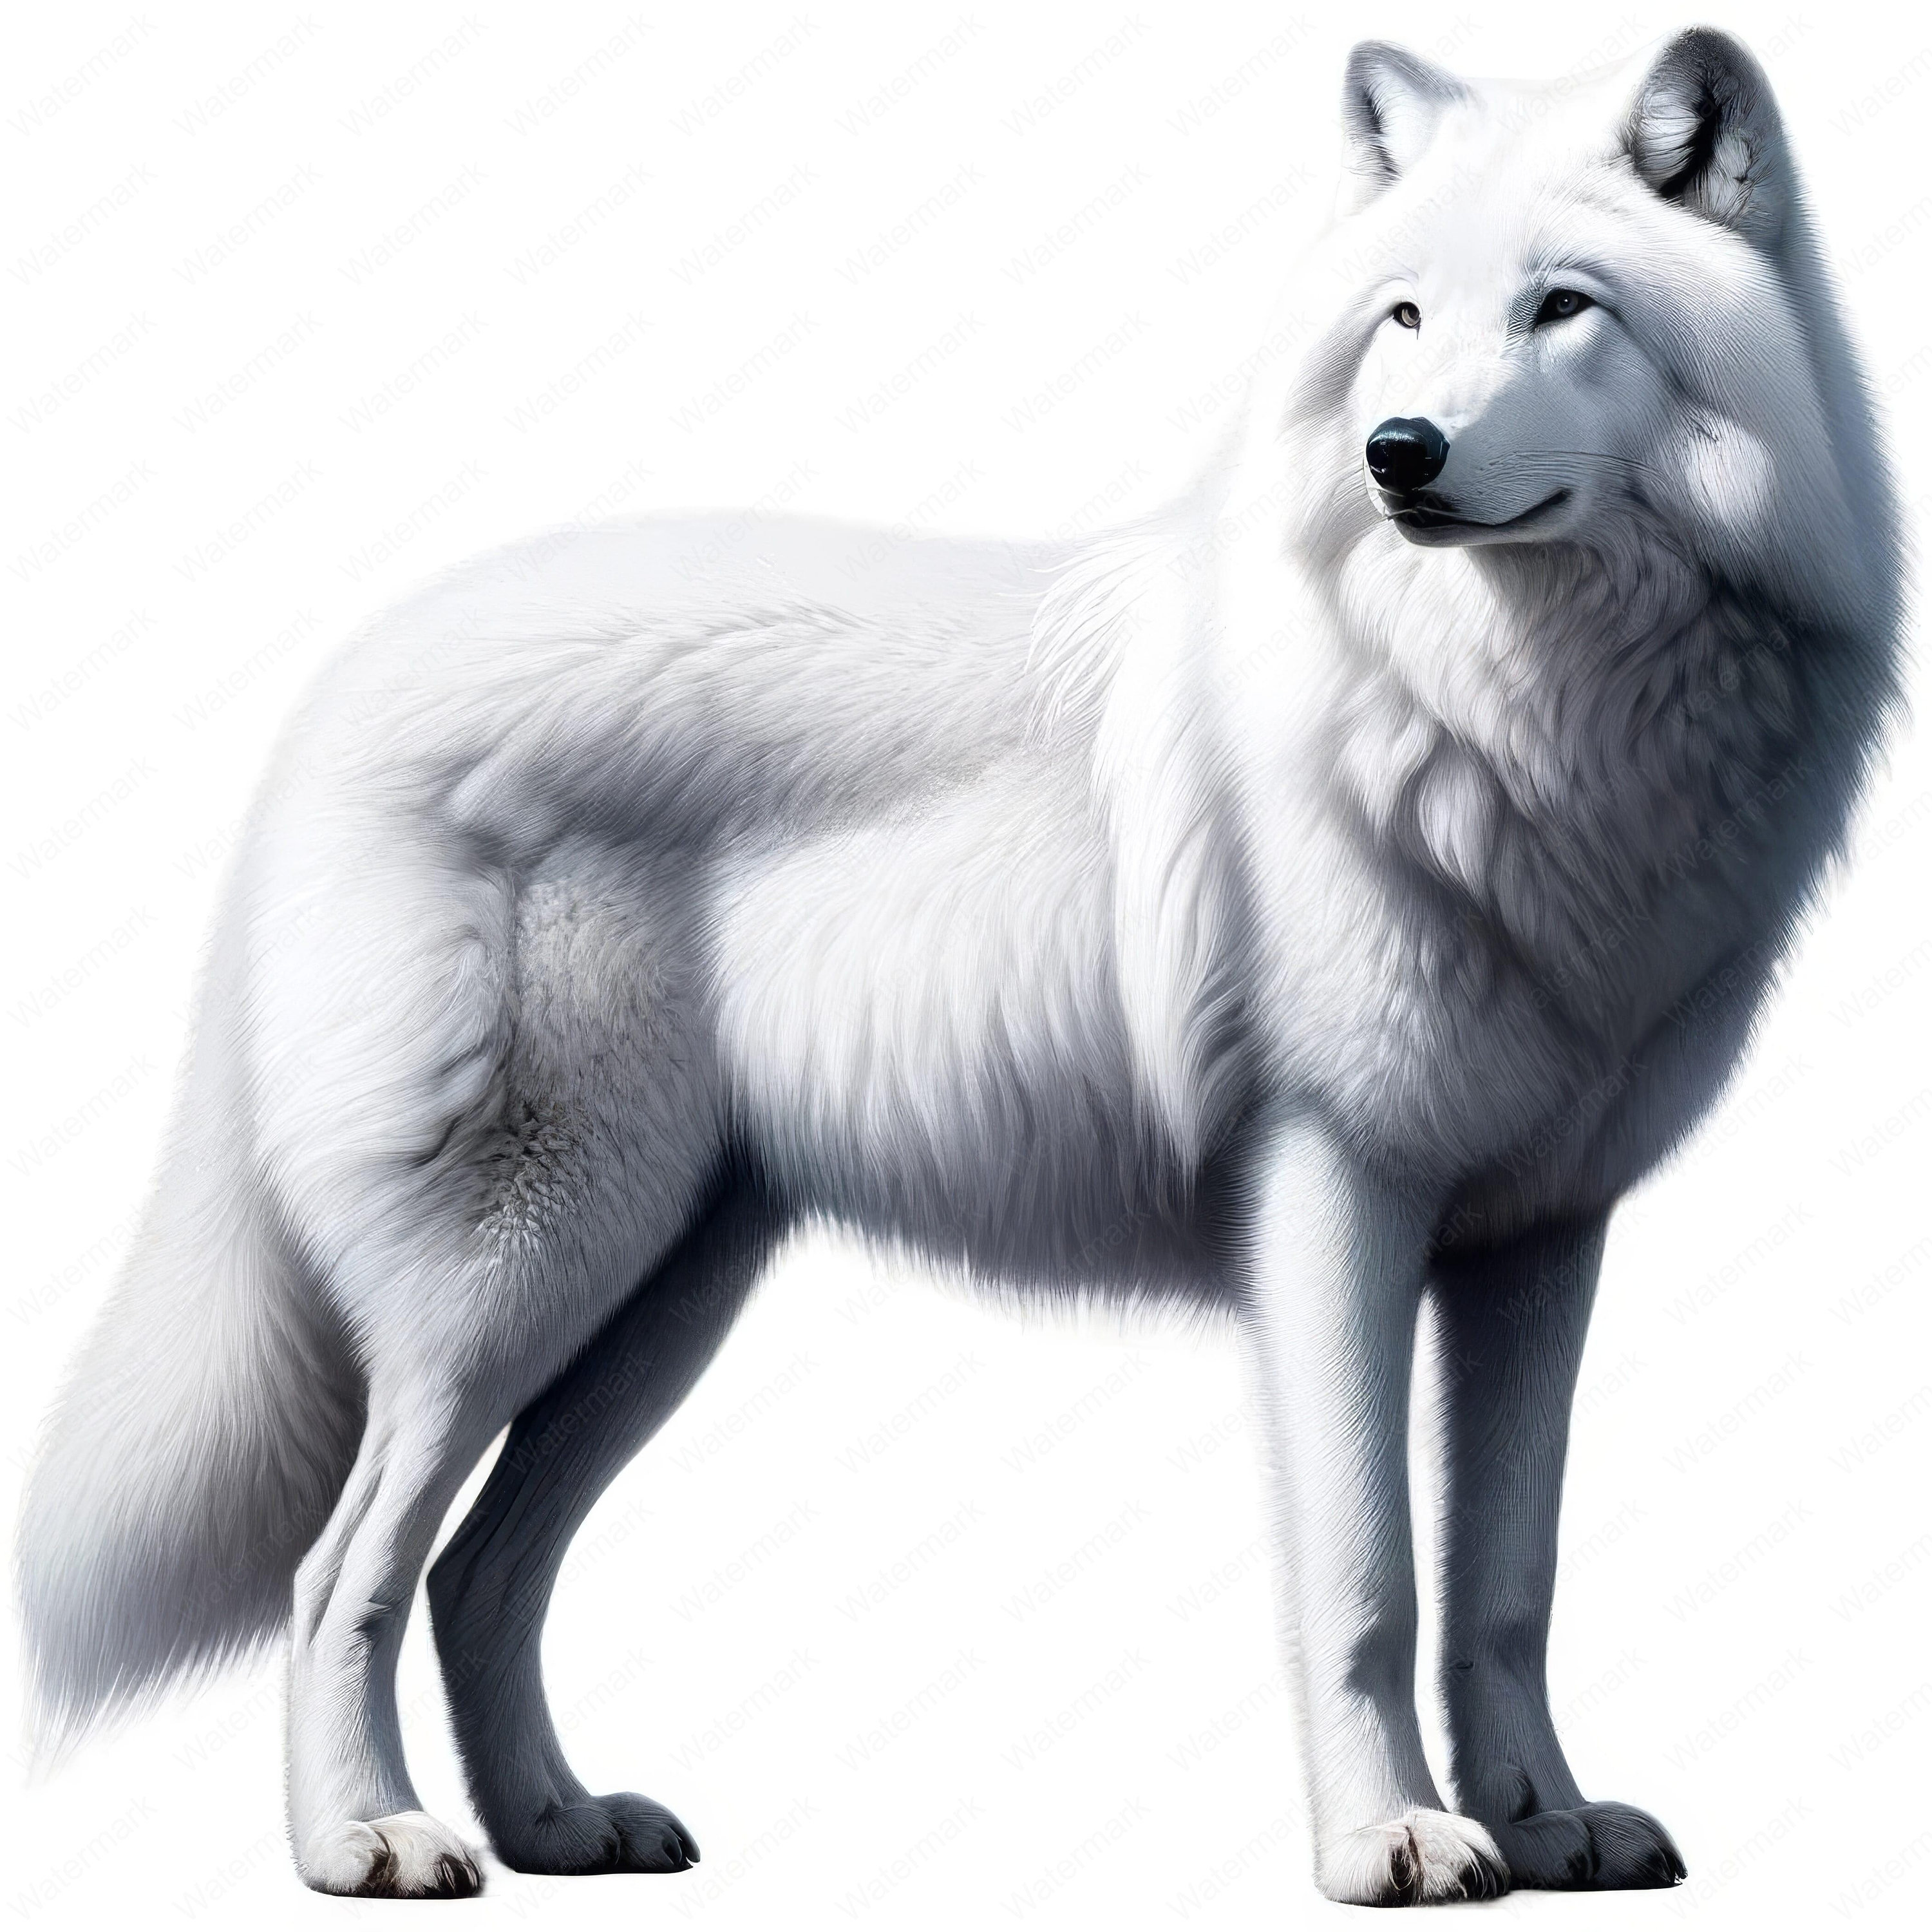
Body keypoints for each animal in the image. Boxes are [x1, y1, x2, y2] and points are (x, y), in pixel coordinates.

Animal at [17, 28, 1898, 1907]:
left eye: (1565, 307)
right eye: (1404, 318)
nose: (1400, 454)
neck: (1512, 716)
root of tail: (330, 700)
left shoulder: (1540, 1237)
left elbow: (1507, 1584)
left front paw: (1546, 1820)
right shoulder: (1334, 1193)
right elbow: (1368, 1572)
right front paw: (1387, 1841)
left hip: (651, 1297)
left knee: (480, 1572)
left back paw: (559, 1825)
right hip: (516, 1285)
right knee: (337, 1570)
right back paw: (366, 1839)